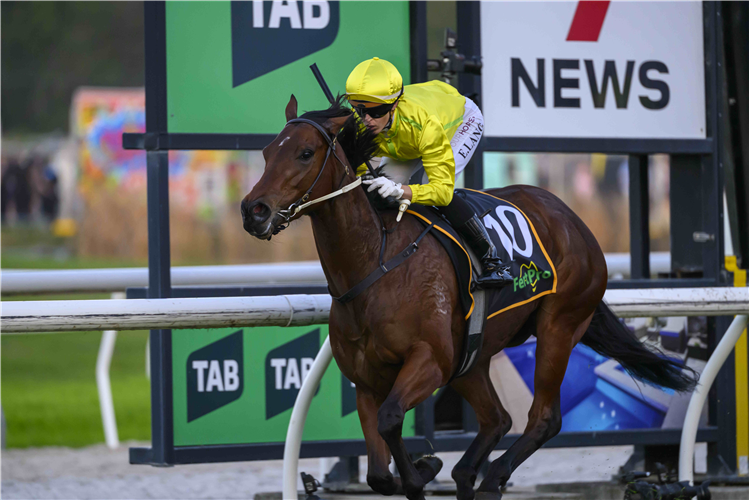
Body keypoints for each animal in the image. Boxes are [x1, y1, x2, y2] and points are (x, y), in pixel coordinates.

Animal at [241, 96, 696, 500]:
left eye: (304, 153)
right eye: (266, 152)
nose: (253, 211)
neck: (376, 262)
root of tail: (571, 218)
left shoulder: (430, 360)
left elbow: (392, 420)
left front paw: (424, 469)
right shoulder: (366, 382)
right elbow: (378, 475)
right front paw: (424, 469)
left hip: (559, 325)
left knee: (543, 418)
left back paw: (492, 477)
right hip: (472, 356)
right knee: (497, 419)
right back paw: (465, 472)